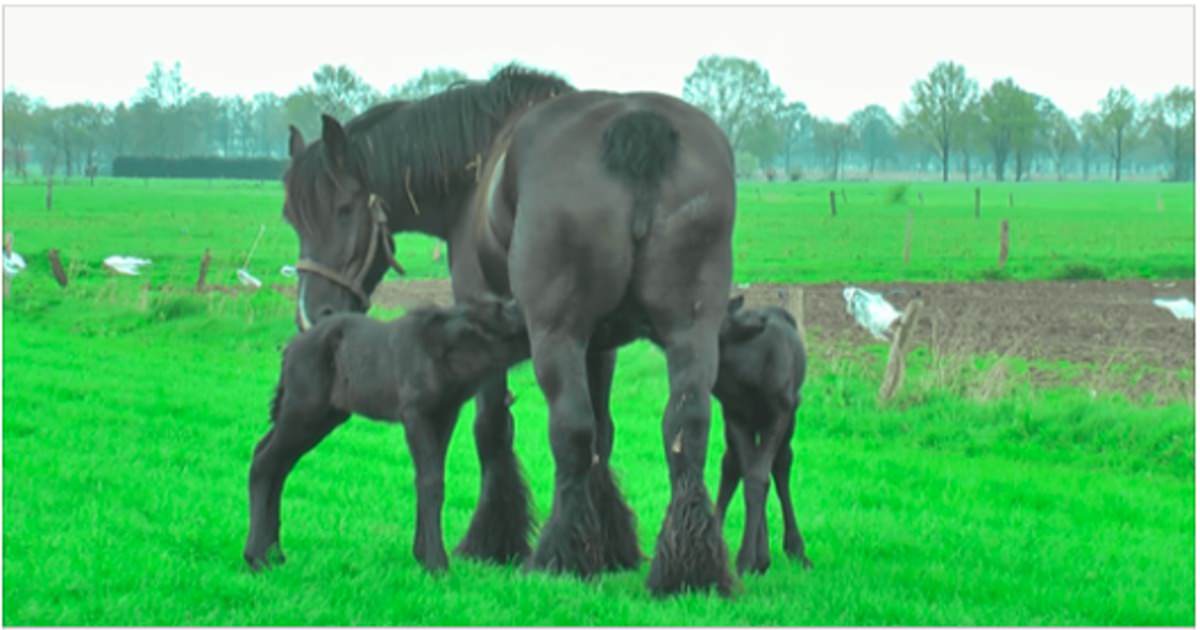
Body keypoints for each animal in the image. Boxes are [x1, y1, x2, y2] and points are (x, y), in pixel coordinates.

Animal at [244, 296, 528, 572]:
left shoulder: (445, 416)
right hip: (304, 410)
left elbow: (430, 477)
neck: (442, 350)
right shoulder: (416, 415)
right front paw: (437, 563)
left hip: (323, 418)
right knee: (265, 462)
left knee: (274, 461)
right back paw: (257, 557)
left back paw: (274, 553)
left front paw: (422, 554)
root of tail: (290, 348)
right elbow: (430, 482)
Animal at [277, 66, 737, 596]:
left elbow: (493, 427)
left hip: (557, 334)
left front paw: (494, 539)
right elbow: (604, 433)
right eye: (292, 217)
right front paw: (611, 544)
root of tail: (637, 127)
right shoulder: (601, 344)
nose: (316, 313)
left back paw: (557, 557)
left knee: (571, 431)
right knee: (687, 428)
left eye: (345, 209)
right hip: (691, 332)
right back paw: (688, 568)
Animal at [713, 297, 814, 575]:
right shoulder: (735, 416)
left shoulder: (780, 414)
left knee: (780, 464)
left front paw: (747, 559)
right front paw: (754, 557)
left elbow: (761, 475)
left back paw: (795, 549)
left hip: (788, 418)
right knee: (733, 464)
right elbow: (751, 474)